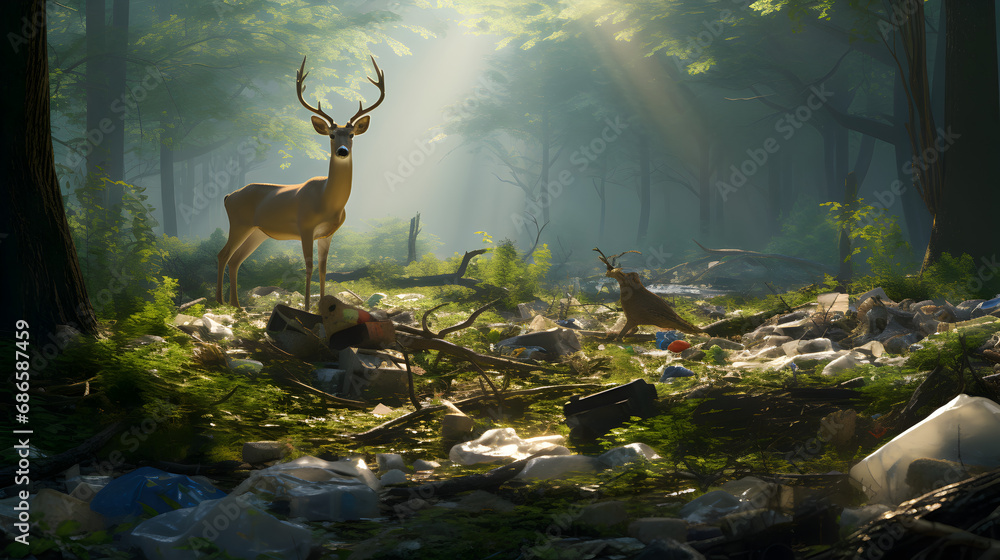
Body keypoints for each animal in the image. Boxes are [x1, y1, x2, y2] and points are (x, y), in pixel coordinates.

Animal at [217, 55, 385, 312]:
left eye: (352, 135)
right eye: (331, 135)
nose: (342, 151)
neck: (327, 202)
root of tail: (228, 196)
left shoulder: (327, 234)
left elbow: (324, 269)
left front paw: (322, 305)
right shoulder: (305, 226)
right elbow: (309, 267)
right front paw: (306, 307)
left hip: (258, 232)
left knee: (236, 259)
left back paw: (236, 305)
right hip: (239, 222)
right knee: (223, 255)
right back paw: (218, 301)